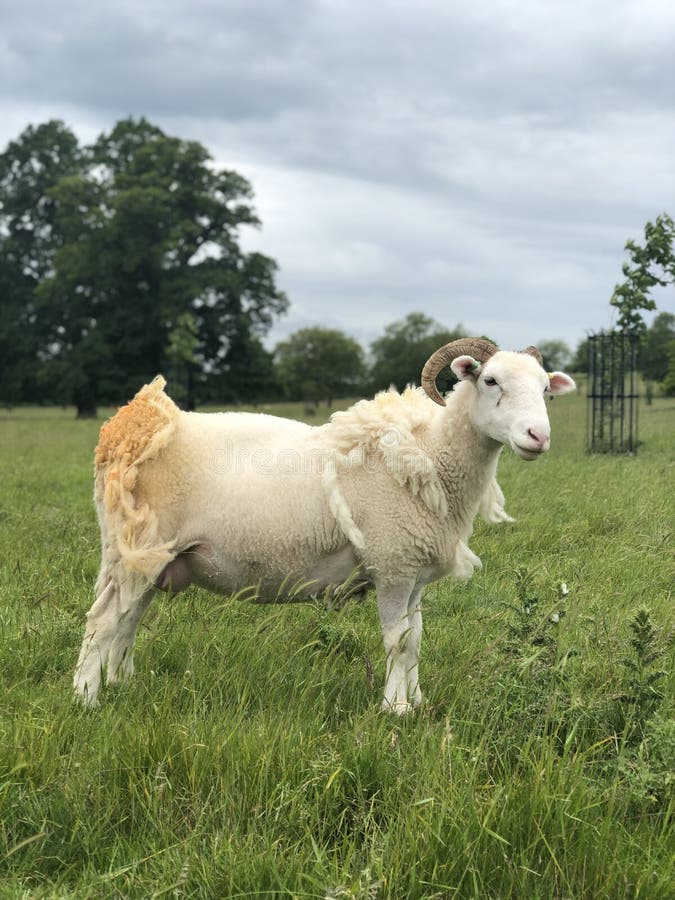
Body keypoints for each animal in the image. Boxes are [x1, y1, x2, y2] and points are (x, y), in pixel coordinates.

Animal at [73, 338, 576, 713]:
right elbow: (397, 642)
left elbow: (416, 640)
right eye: (490, 380)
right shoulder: (392, 563)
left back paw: (121, 684)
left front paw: (417, 702)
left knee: (128, 619)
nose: (538, 436)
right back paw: (86, 698)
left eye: (544, 388)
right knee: (102, 620)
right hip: (137, 544)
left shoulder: (414, 572)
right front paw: (395, 710)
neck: (431, 454)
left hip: (148, 556)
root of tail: (133, 426)